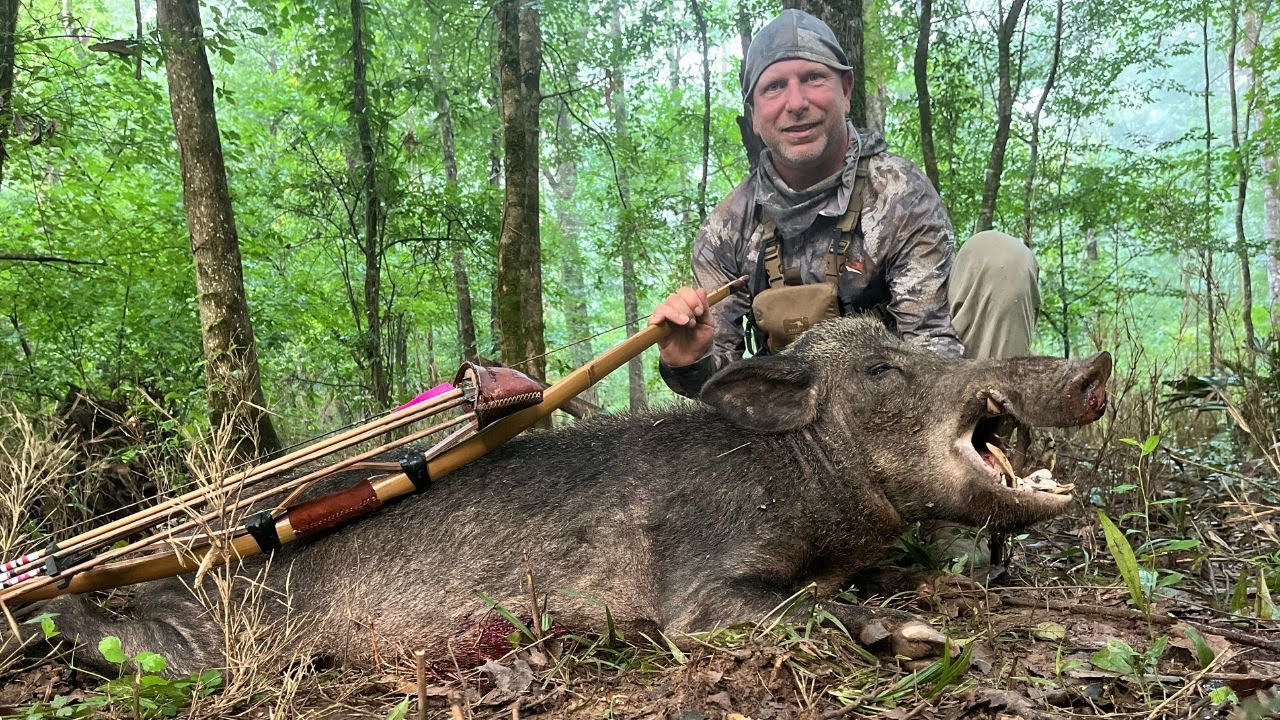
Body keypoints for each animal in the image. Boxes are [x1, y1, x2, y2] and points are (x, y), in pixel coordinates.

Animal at [27, 316, 1111, 676]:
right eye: (884, 367)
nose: (1093, 365)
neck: (803, 486)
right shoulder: (697, 590)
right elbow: (798, 608)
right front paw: (911, 633)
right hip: (212, 642)